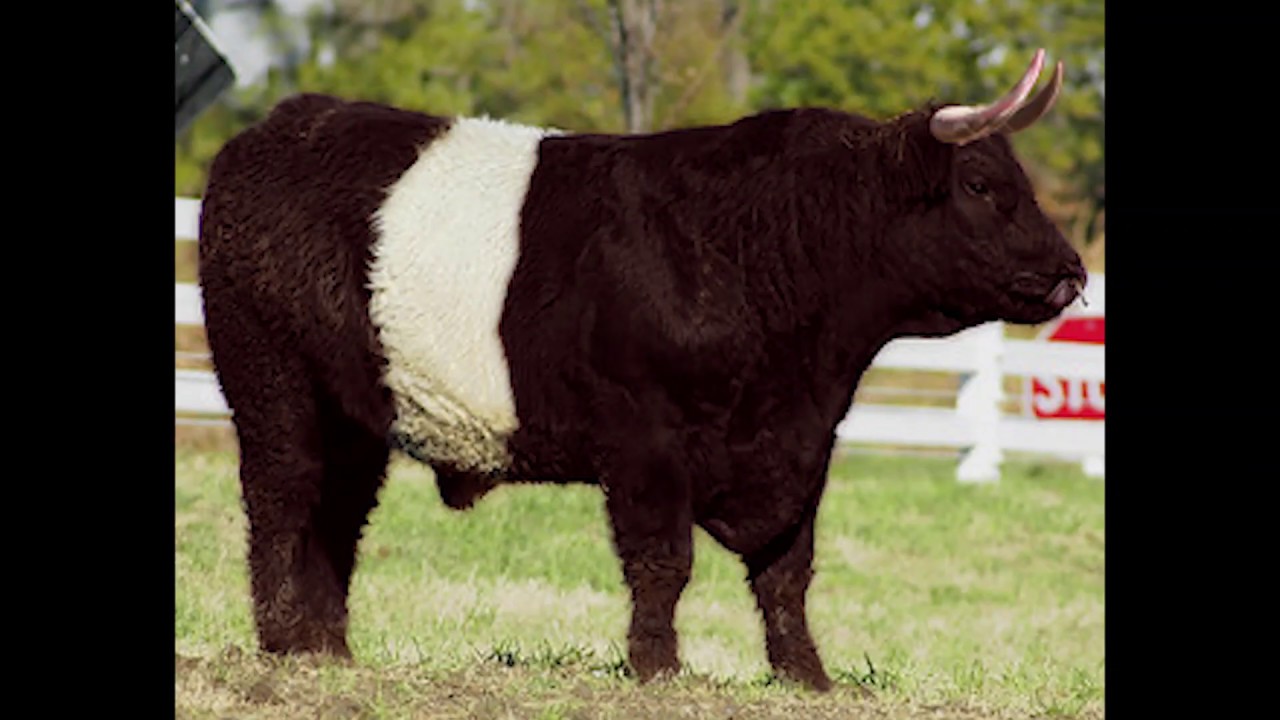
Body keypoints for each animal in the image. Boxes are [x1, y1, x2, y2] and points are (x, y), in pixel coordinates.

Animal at [197, 48, 1086, 692]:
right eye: (981, 184)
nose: (1072, 271)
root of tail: (276, 129)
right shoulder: (647, 443)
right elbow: (664, 563)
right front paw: (658, 669)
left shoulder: (802, 448)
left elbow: (786, 573)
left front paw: (807, 678)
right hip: (273, 388)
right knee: (281, 503)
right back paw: (280, 643)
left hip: (352, 415)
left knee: (337, 517)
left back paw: (328, 652)